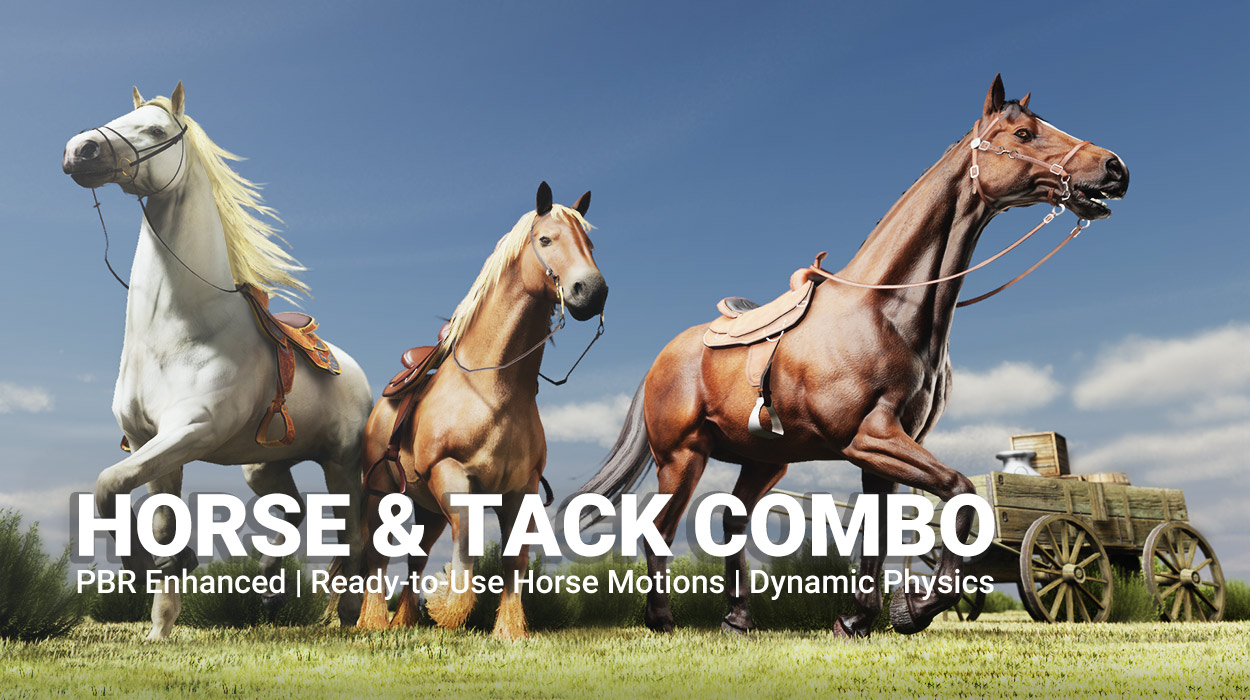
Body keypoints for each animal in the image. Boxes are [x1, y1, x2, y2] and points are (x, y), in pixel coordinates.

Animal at [61, 83, 374, 640]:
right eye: (118, 117)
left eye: (156, 130)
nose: (81, 149)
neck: (178, 332)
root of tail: (350, 366)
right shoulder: (148, 441)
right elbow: (153, 515)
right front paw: (160, 624)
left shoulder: (192, 430)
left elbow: (108, 483)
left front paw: (144, 565)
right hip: (262, 466)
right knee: (291, 510)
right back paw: (269, 587)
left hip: (341, 461)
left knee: (352, 530)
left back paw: (348, 612)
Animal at [357, 182, 607, 640]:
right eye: (546, 240)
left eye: (590, 243)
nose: (593, 291)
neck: (495, 392)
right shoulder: (452, 474)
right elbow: (469, 540)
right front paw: (451, 609)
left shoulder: (520, 489)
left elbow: (514, 557)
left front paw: (508, 628)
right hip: (382, 494)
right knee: (377, 554)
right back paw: (374, 622)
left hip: (427, 508)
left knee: (417, 556)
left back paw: (403, 619)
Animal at [566, 75, 1129, 638]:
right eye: (1023, 132)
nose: (1115, 168)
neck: (888, 308)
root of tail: (661, 360)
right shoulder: (868, 438)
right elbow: (960, 493)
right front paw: (913, 608)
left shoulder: (886, 452)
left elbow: (880, 532)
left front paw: (858, 617)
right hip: (683, 457)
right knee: (660, 528)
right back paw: (661, 619)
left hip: (765, 462)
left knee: (732, 522)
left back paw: (737, 618)